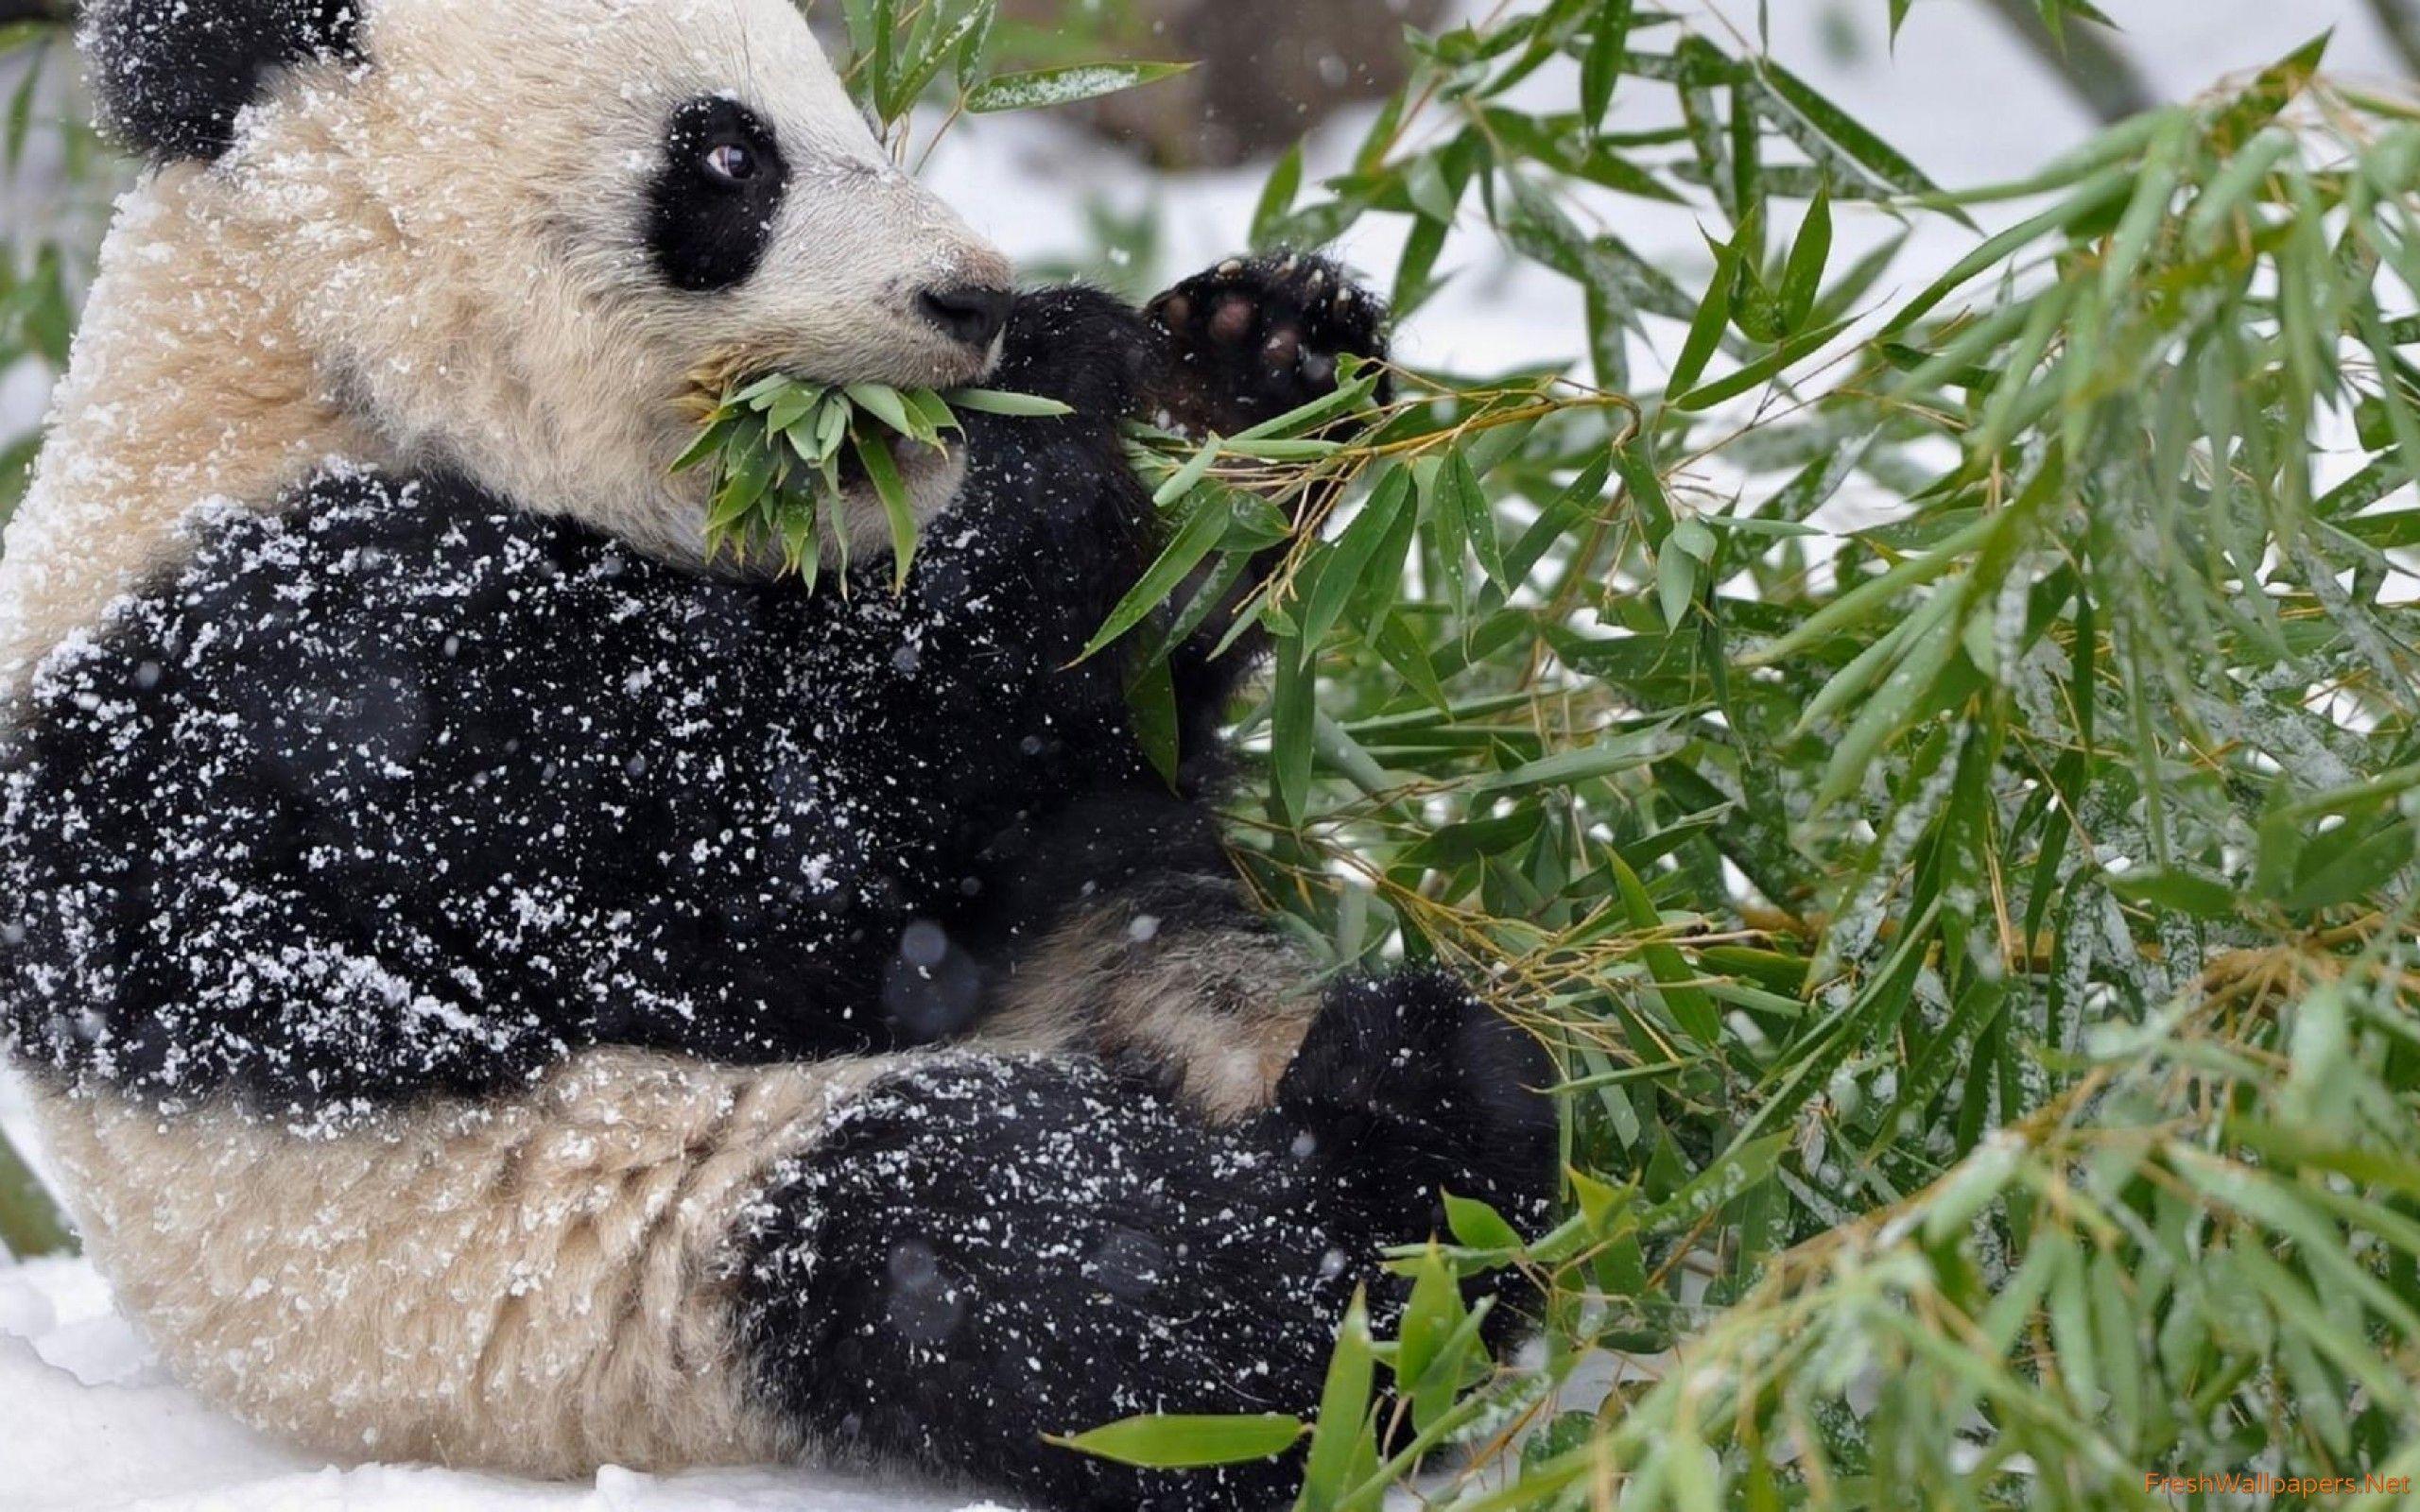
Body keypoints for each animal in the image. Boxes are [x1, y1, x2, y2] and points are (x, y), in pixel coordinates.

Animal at [0, 1, 1557, 1509]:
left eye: (855, 113)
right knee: (1024, 1256)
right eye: (730, 158)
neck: (301, 347)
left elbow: (1096, 746)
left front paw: (1255, 361)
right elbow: (767, 858)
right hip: (604, 1246)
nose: (974, 298)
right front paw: (1099, 401)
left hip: (1125, 962)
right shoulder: (295, 676)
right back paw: (1392, 1163)